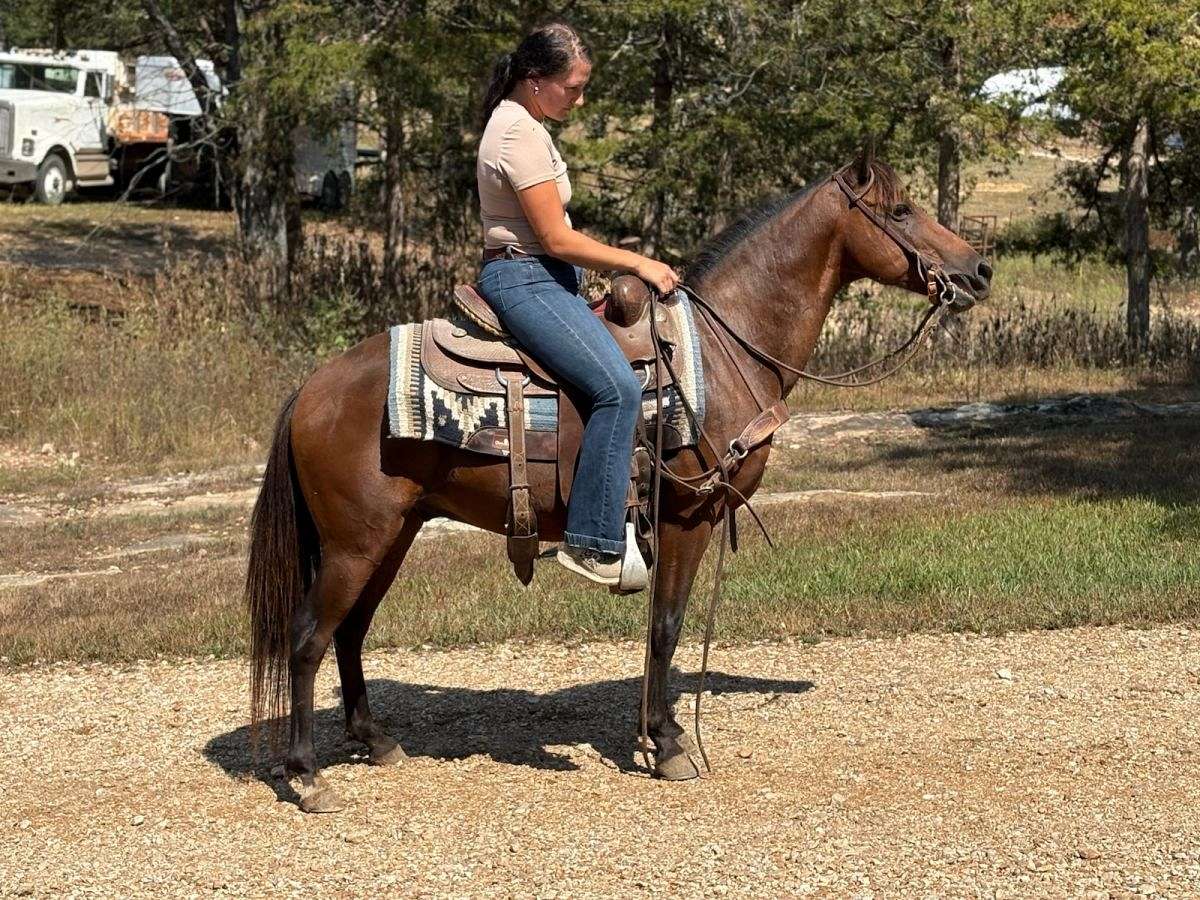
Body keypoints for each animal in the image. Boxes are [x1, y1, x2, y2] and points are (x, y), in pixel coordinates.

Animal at [245, 146, 992, 812]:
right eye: (901, 208)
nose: (979, 269)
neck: (725, 348)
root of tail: (310, 388)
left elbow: (664, 628)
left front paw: (662, 729)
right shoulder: (686, 518)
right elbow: (666, 626)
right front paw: (668, 745)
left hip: (391, 535)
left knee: (350, 632)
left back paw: (375, 741)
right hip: (355, 542)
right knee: (307, 638)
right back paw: (308, 776)